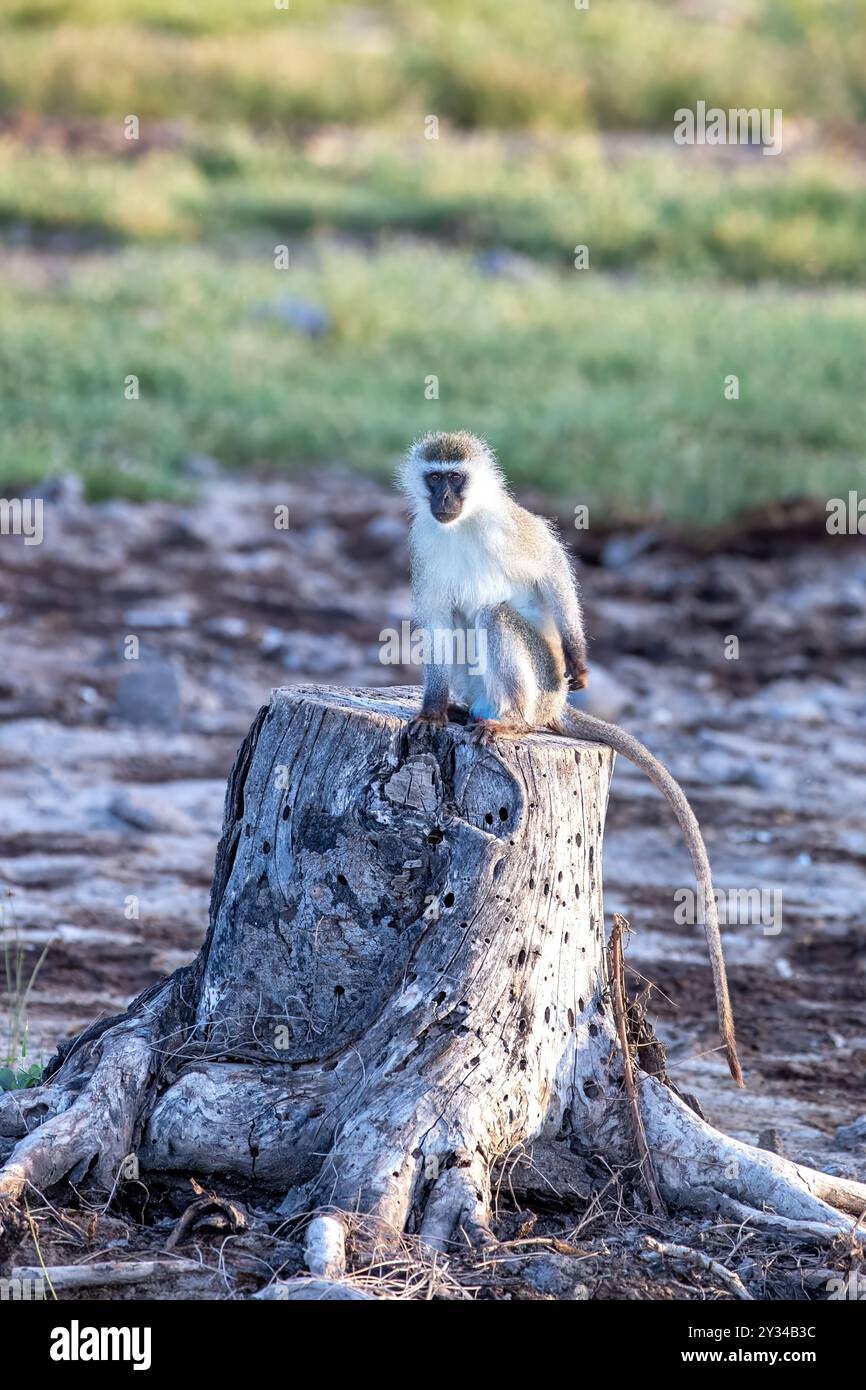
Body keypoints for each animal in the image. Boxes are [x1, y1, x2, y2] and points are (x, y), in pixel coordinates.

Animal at [399, 430, 744, 1087]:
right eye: (434, 478)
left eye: (457, 478)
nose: (444, 500)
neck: (464, 527)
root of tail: (553, 707)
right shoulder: (426, 545)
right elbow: (435, 621)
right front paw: (430, 709)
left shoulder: (513, 530)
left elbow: (553, 573)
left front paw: (582, 654)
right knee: (462, 620)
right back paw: (460, 710)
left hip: (542, 680)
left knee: (494, 615)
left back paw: (512, 721)